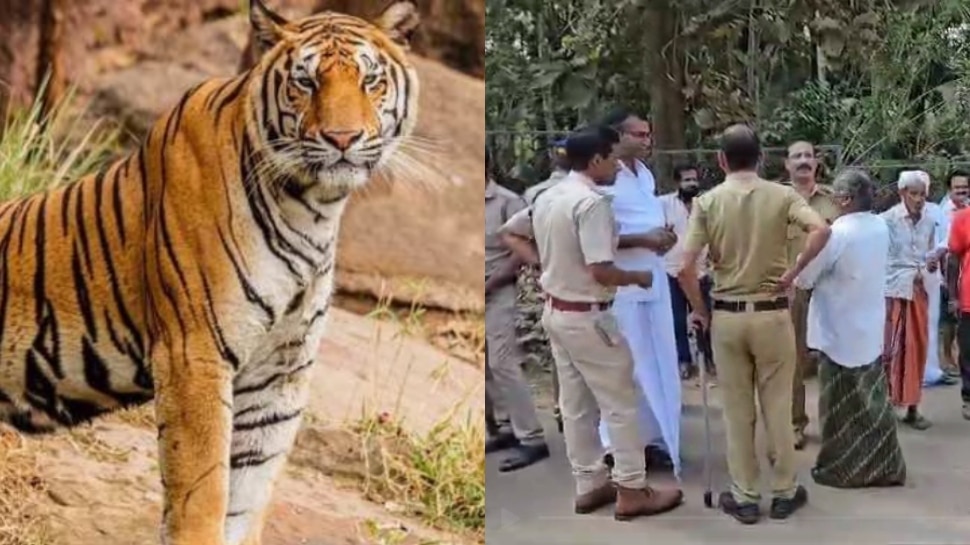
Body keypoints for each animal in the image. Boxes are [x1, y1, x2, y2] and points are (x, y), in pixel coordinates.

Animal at [0, 0, 420, 543]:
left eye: (371, 81)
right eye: (306, 82)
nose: (342, 138)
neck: (312, 210)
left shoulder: (279, 375)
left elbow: (249, 492)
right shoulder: (193, 353)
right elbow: (203, 489)